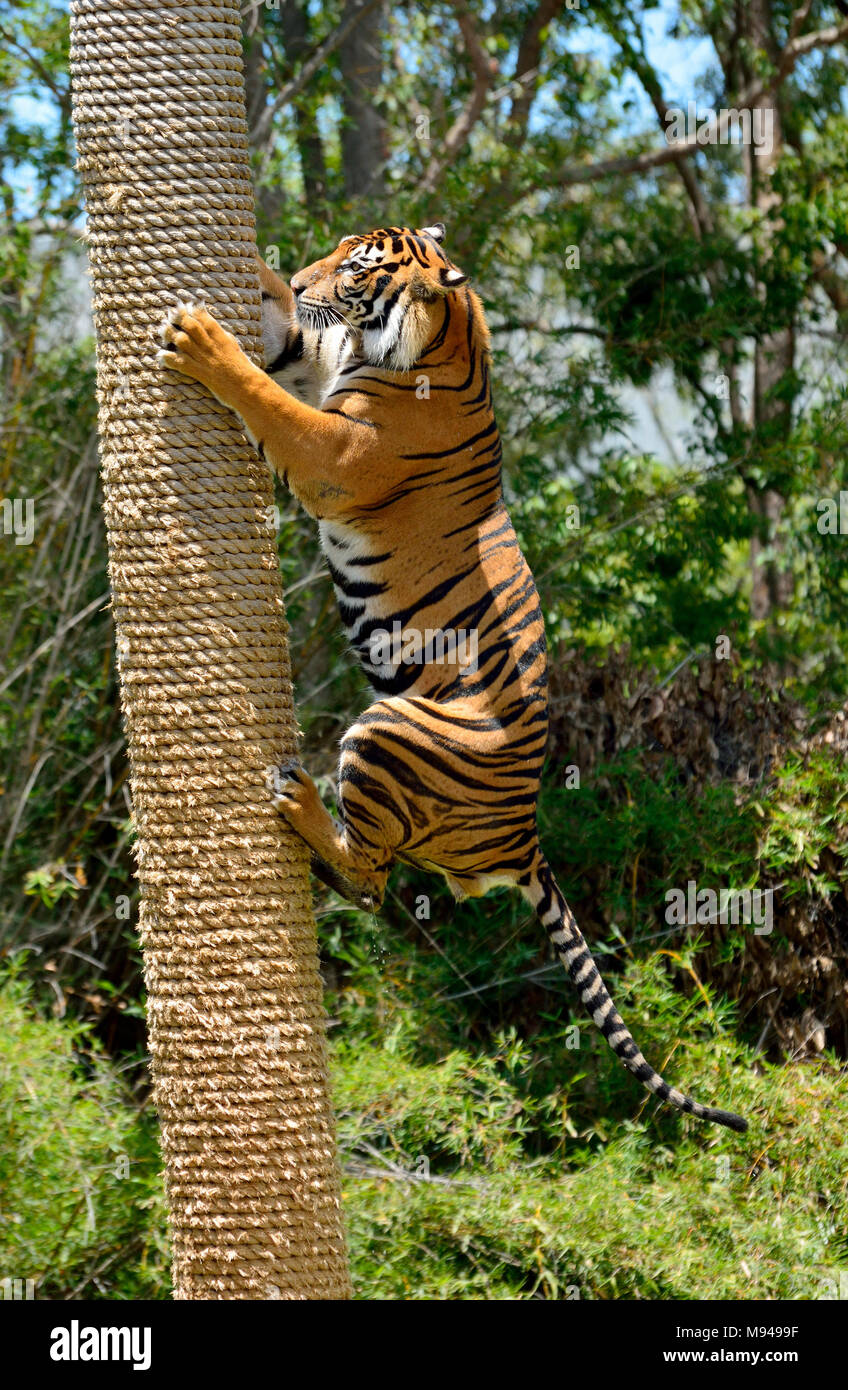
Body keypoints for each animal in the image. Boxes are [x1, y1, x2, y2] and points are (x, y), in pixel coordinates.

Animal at [158, 222, 747, 1133]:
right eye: (335, 250)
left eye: (357, 270)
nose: (308, 275)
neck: (444, 338)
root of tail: (527, 838)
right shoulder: (315, 355)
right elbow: (283, 327)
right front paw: (258, 266)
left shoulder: (331, 450)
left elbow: (263, 393)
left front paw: (203, 338)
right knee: (374, 882)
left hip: (386, 731)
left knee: (372, 878)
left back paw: (297, 800)